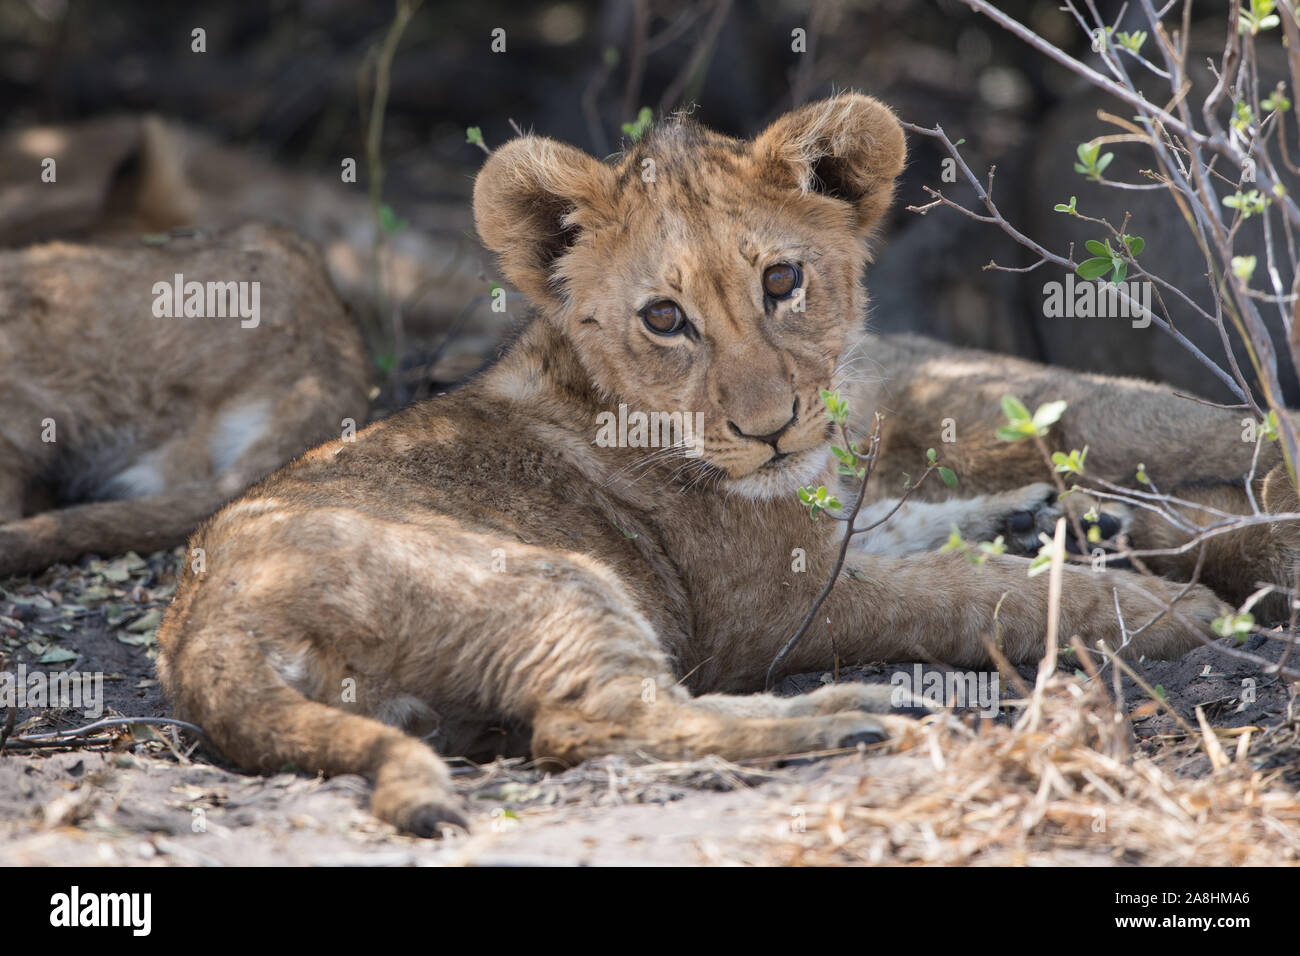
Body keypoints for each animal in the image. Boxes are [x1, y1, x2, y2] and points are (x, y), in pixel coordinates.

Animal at [158, 93, 1280, 836]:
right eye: (665, 319)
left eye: (782, 281)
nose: (773, 426)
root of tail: (204, 630)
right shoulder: (784, 609)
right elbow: (965, 593)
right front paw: (1164, 608)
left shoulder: (828, 523)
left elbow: (918, 520)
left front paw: (1060, 518)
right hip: (549, 578)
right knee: (591, 723)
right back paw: (855, 718)